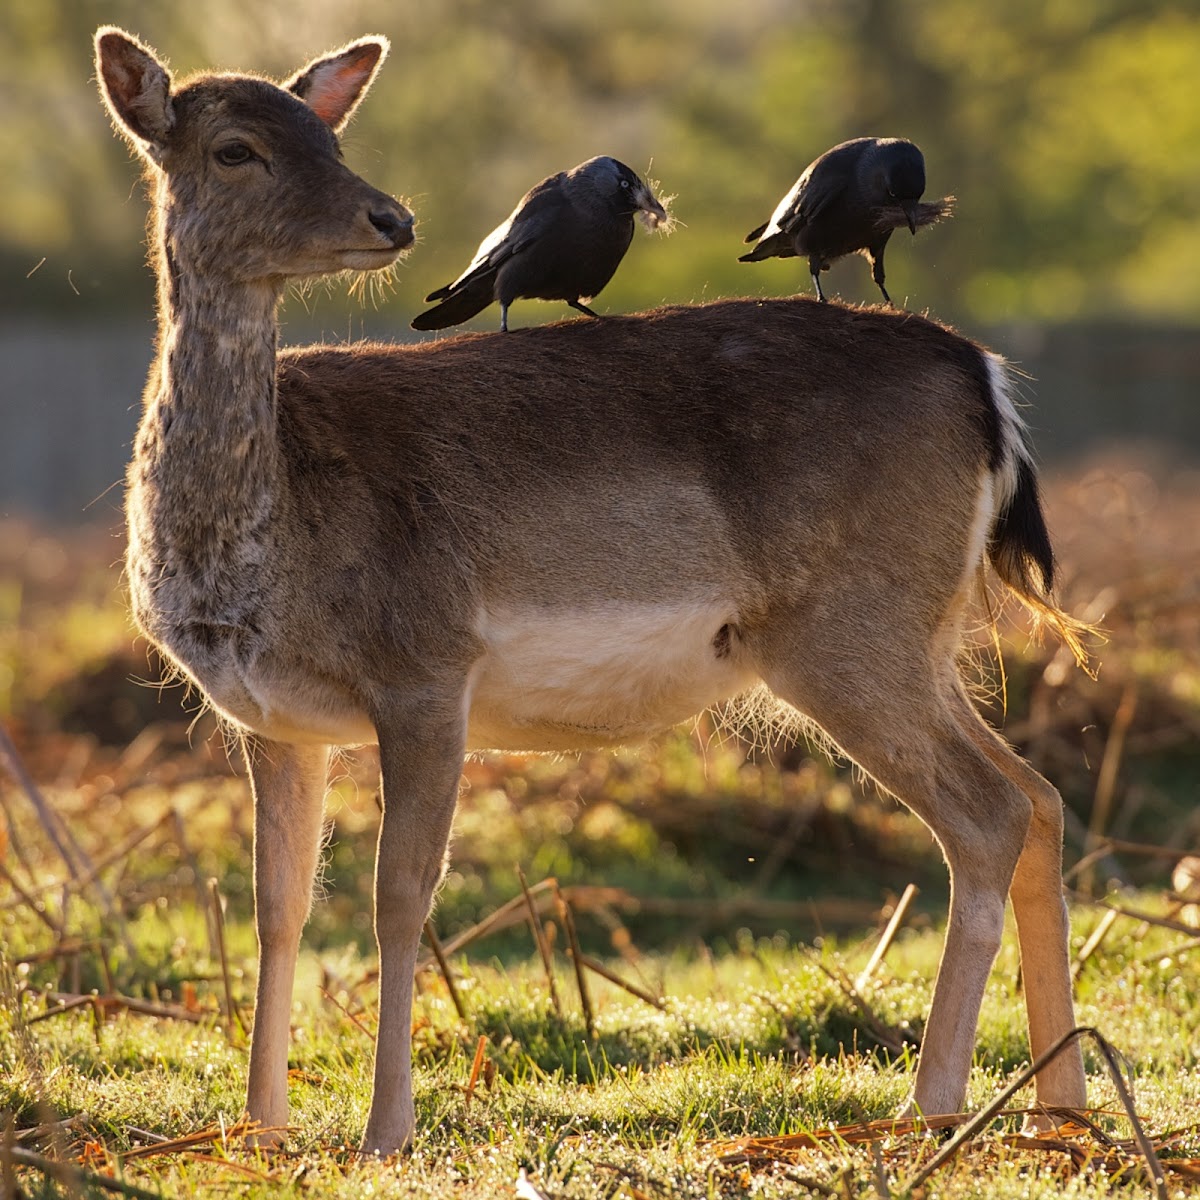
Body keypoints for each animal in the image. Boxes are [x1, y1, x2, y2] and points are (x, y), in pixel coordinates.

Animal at [94, 27, 1090, 1156]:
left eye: (328, 133)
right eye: (236, 148)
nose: (390, 218)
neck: (271, 543)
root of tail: (989, 383)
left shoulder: (426, 662)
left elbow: (401, 896)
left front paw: (386, 1130)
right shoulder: (272, 720)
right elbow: (280, 902)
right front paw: (259, 1127)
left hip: (850, 629)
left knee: (986, 815)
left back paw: (930, 1105)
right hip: (923, 634)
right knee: (1040, 796)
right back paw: (1060, 1100)